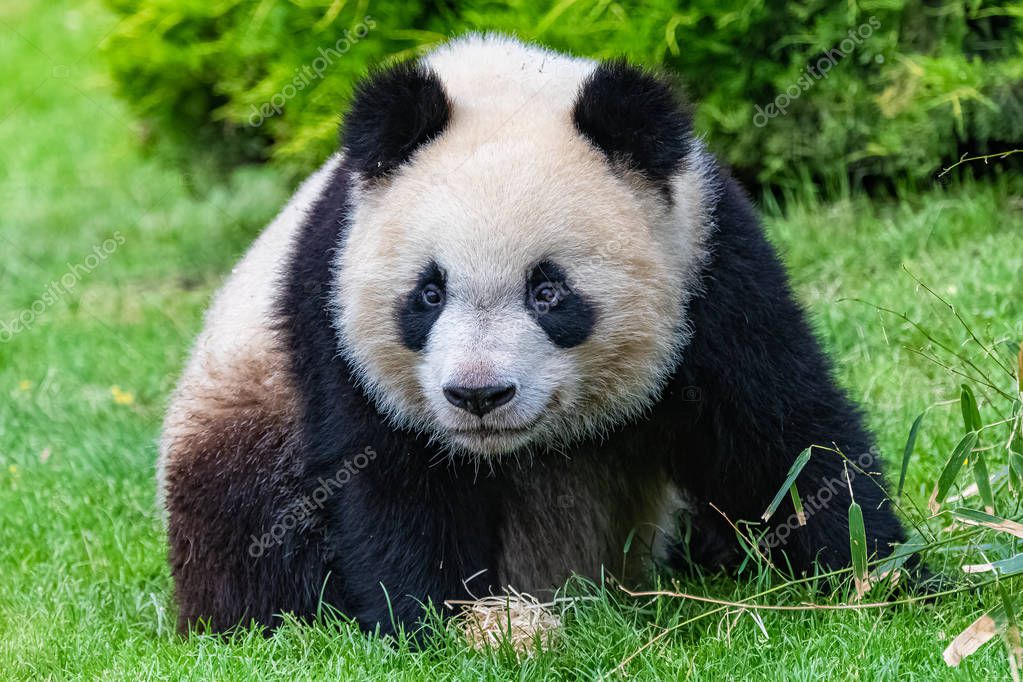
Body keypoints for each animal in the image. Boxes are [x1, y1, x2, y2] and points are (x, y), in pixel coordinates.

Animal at [159, 35, 909, 636]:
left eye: (548, 292)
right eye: (428, 293)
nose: (478, 395)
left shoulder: (709, 261)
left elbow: (776, 435)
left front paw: (885, 581)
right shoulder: (335, 305)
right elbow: (388, 480)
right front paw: (447, 625)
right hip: (240, 418)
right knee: (258, 525)